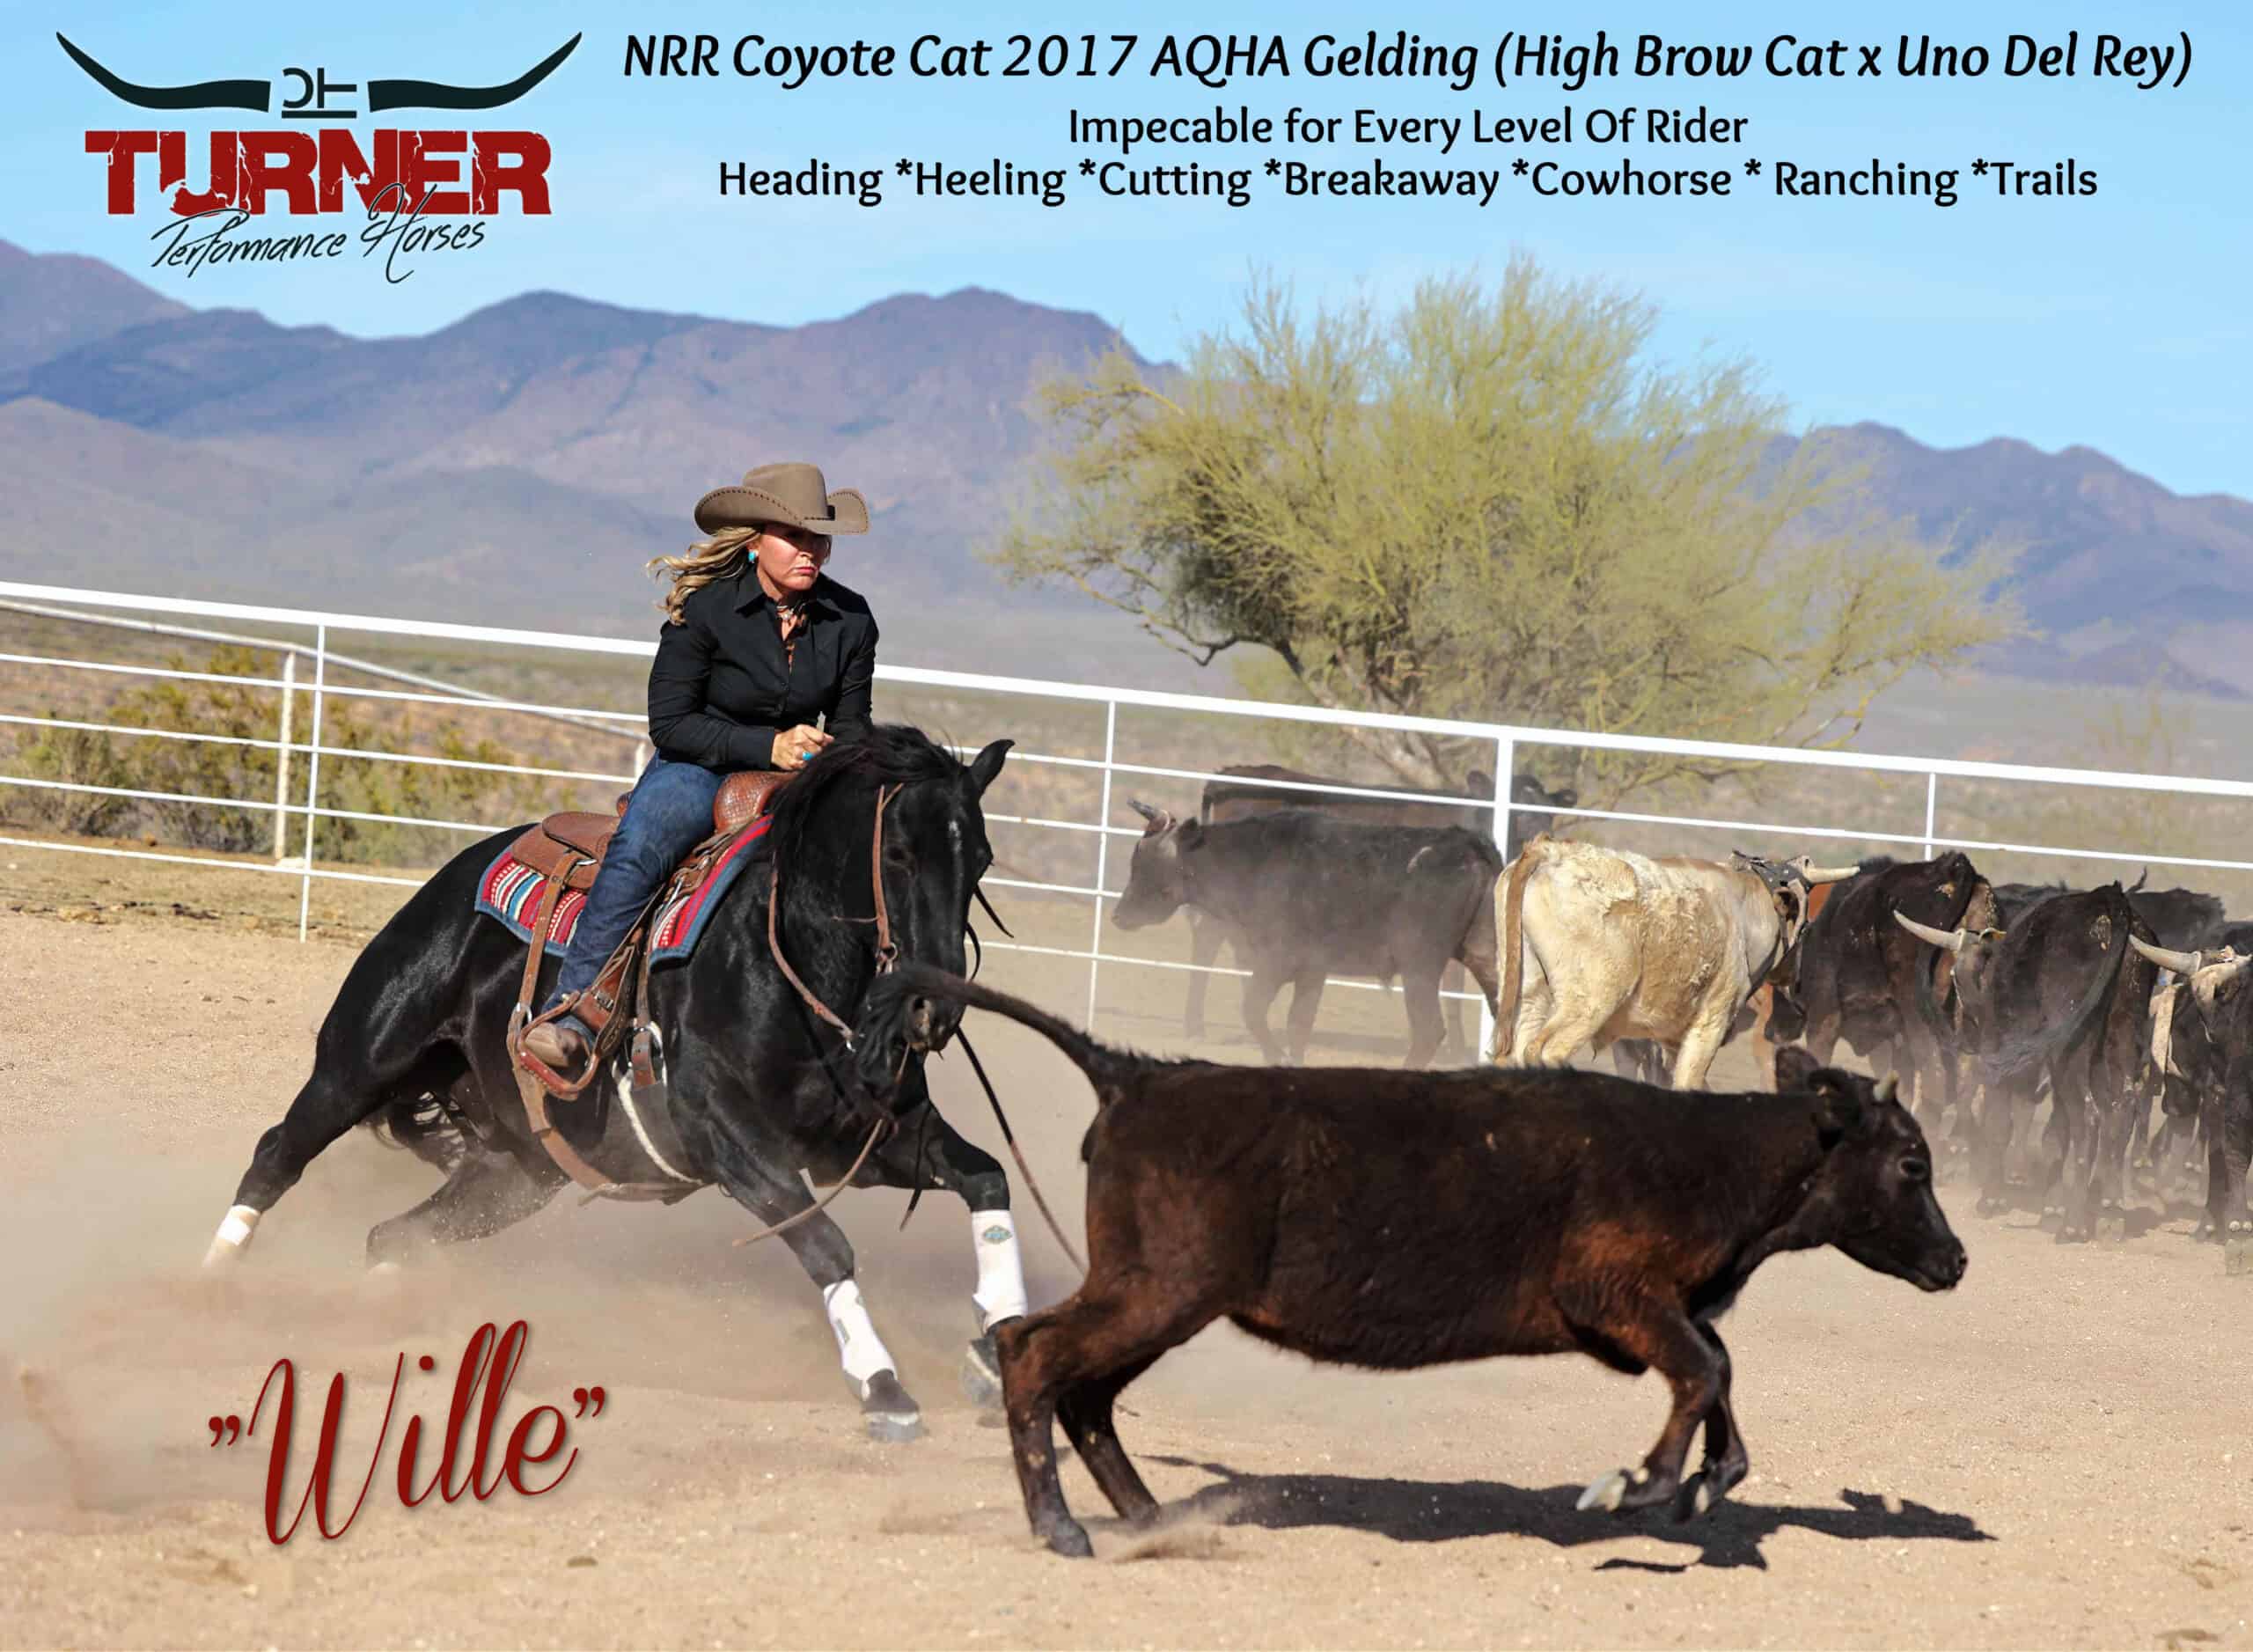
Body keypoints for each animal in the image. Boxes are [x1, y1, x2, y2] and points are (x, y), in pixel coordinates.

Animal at [201, 724, 1021, 1442]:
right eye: (901, 852)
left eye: (981, 857)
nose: (935, 1005)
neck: (789, 963)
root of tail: (464, 870)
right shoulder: (732, 1142)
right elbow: (826, 1245)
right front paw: (884, 1388)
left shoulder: (874, 1139)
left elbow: (987, 1178)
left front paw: (995, 1352)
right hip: (360, 1060)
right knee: (277, 1155)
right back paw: (209, 1286)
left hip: (516, 1171)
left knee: (393, 1234)